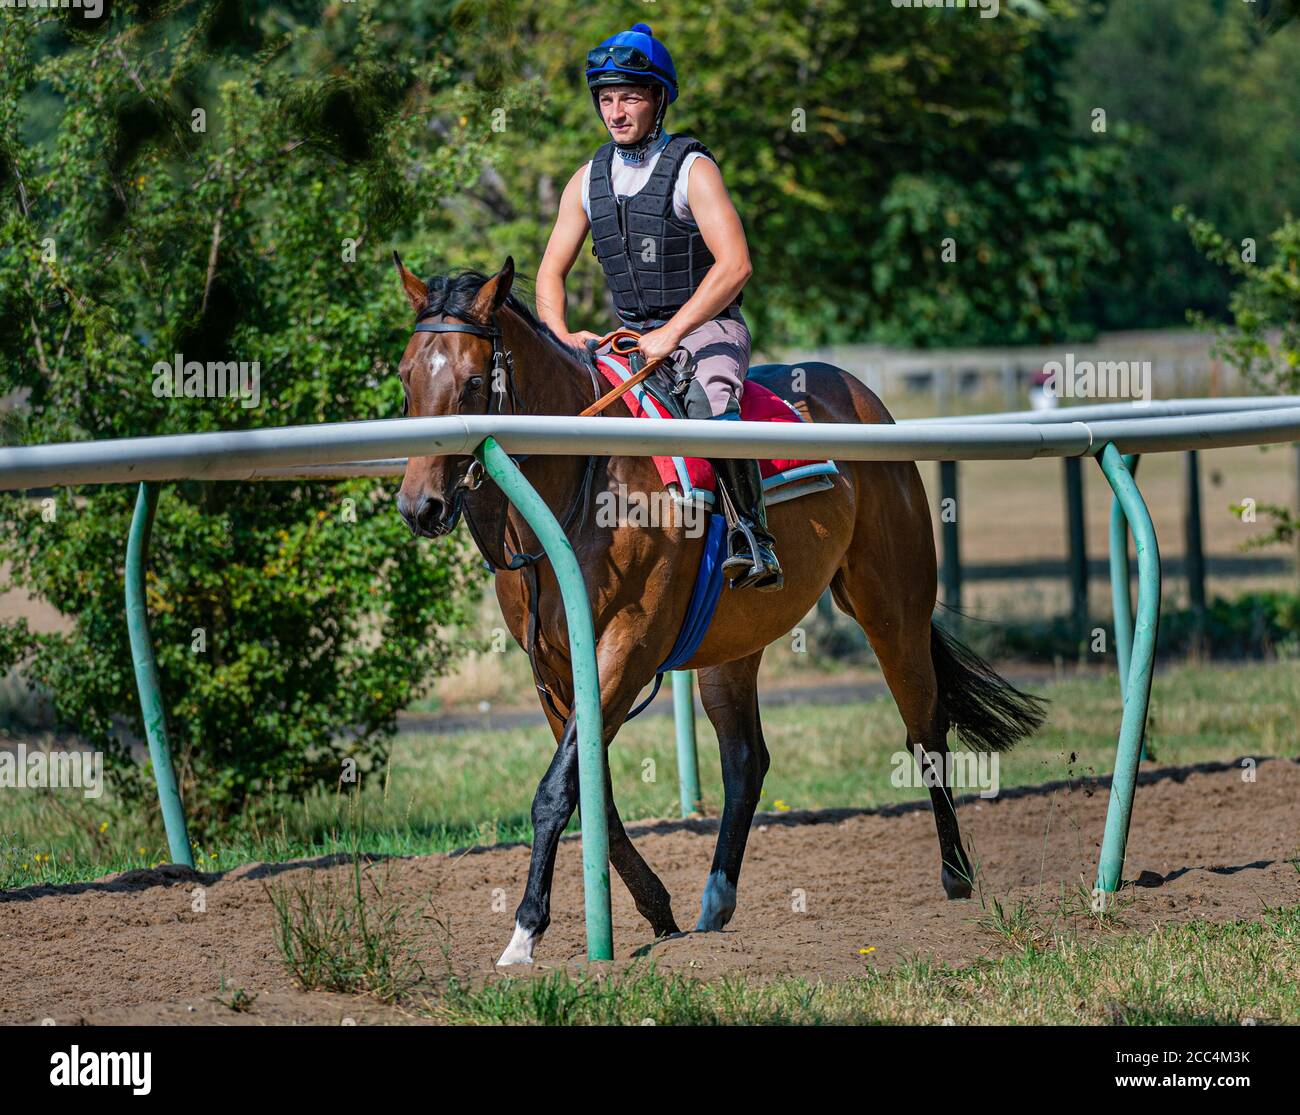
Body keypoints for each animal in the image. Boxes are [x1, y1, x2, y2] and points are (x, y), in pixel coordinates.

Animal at [392, 254, 1046, 966]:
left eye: (472, 381)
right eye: (405, 376)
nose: (420, 507)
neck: (581, 480)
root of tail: (858, 392)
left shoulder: (628, 646)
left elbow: (557, 790)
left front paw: (526, 930)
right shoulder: (553, 668)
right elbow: (593, 790)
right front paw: (656, 909)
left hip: (891, 609)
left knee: (925, 734)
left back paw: (956, 878)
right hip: (734, 640)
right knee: (746, 762)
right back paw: (714, 903)